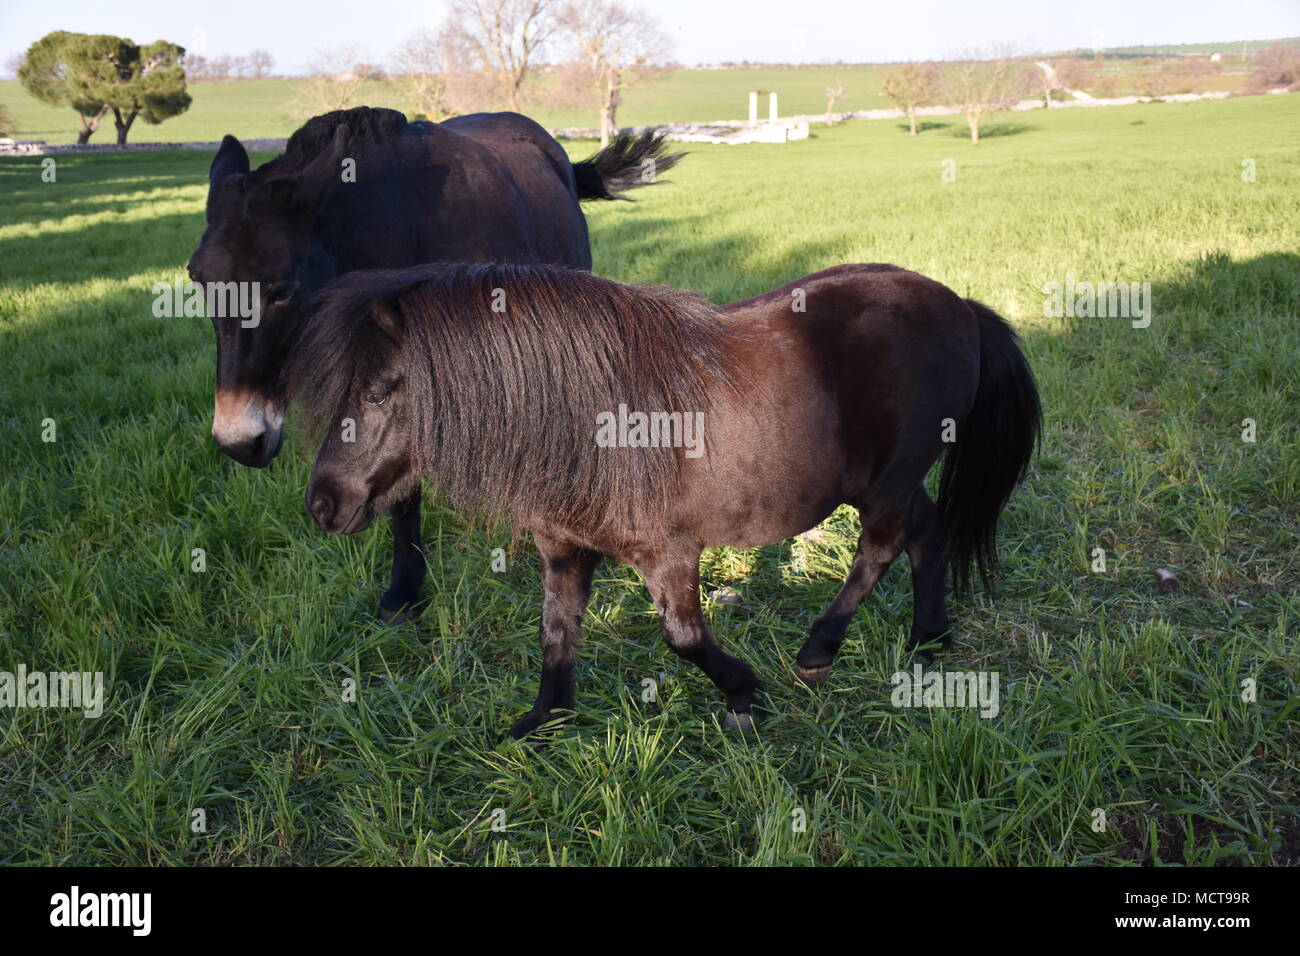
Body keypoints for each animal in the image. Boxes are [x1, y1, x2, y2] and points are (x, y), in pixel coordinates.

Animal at [288, 261, 1042, 739]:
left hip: (889, 481)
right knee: (926, 535)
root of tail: (960, 306)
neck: (593, 420)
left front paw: (743, 695)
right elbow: (556, 632)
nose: (322, 505)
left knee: (881, 549)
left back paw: (821, 649)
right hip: (886, 483)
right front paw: (544, 721)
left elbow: (683, 637)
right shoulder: (563, 550)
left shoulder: (669, 554)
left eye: (379, 390)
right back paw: (928, 639)